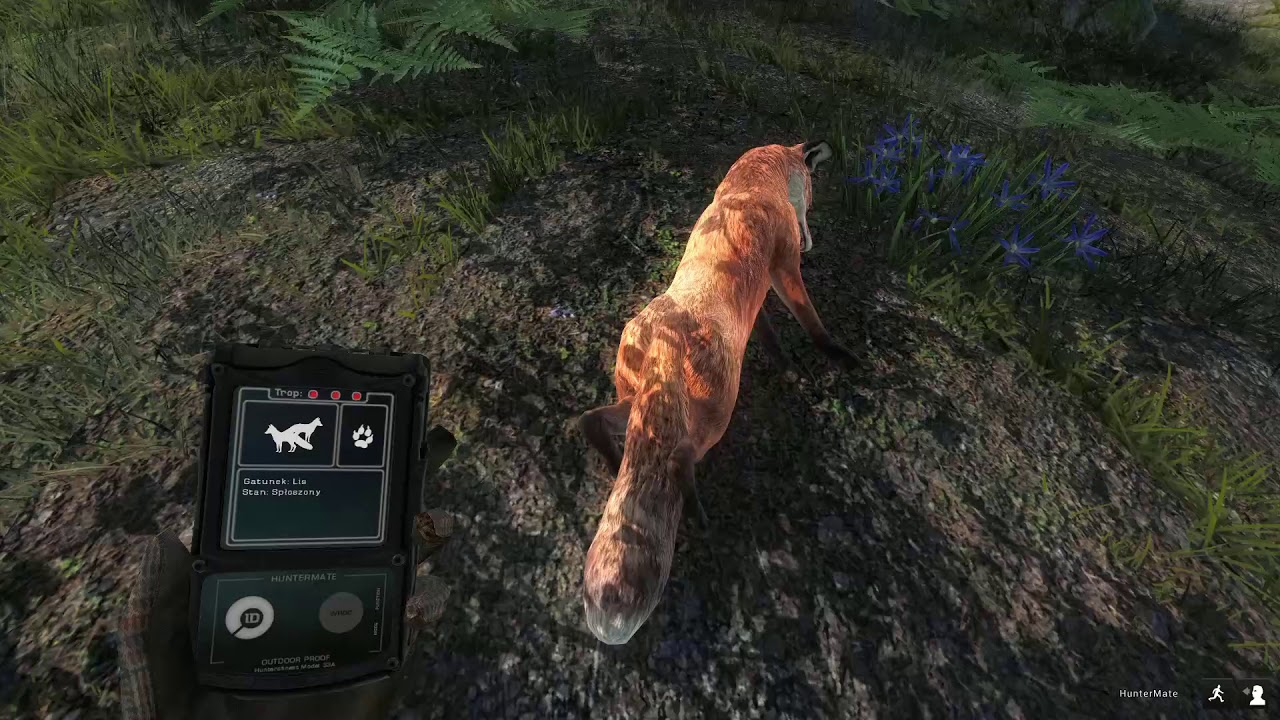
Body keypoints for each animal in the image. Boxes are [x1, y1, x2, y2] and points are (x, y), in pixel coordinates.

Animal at [577, 140, 858, 645]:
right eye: (810, 190)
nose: (811, 236)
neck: (750, 185)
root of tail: (665, 341)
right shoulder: (784, 268)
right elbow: (812, 323)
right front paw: (836, 355)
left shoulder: (759, 298)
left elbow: (769, 335)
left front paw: (786, 363)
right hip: (715, 415)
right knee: (677, 458)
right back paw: (699, 512)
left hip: (631, 398)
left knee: (596, 422)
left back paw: (611, 461)